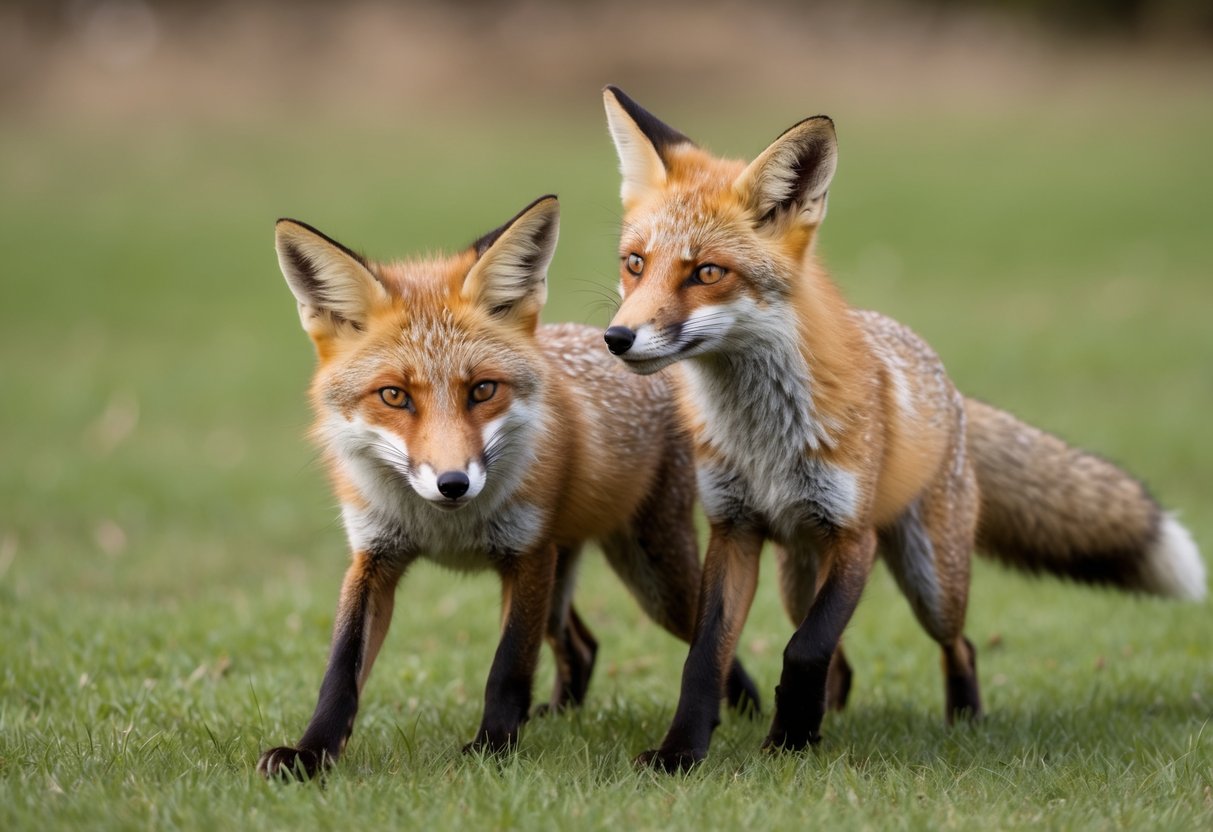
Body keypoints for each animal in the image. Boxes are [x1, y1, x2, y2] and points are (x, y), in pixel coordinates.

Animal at [255, 195, 760, 779]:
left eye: (482, 390)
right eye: (394, 396)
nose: (453, 483)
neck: (446, 528)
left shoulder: (527, 555)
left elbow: (508, 665)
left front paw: (492, 748)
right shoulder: (374, 556)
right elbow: (340, 671)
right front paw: (310, 753)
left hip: (654, 578)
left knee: (715, 639)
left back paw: (747, 713)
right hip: (572, 574)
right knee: (583, 644)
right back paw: (559, 716)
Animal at [598, 86, 1206, 772]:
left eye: (706, 273)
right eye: (635, 264)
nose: (616, 338)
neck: (763, 439)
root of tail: (948, 384)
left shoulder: (852, 535)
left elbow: (802, 650)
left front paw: (785, 743)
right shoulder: (734, 530)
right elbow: (707, 657)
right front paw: (683, 751)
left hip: (931, 579)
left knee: (957, 644)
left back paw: (962, 719)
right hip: (798, 575)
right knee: (841, 664)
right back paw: (827, 720)